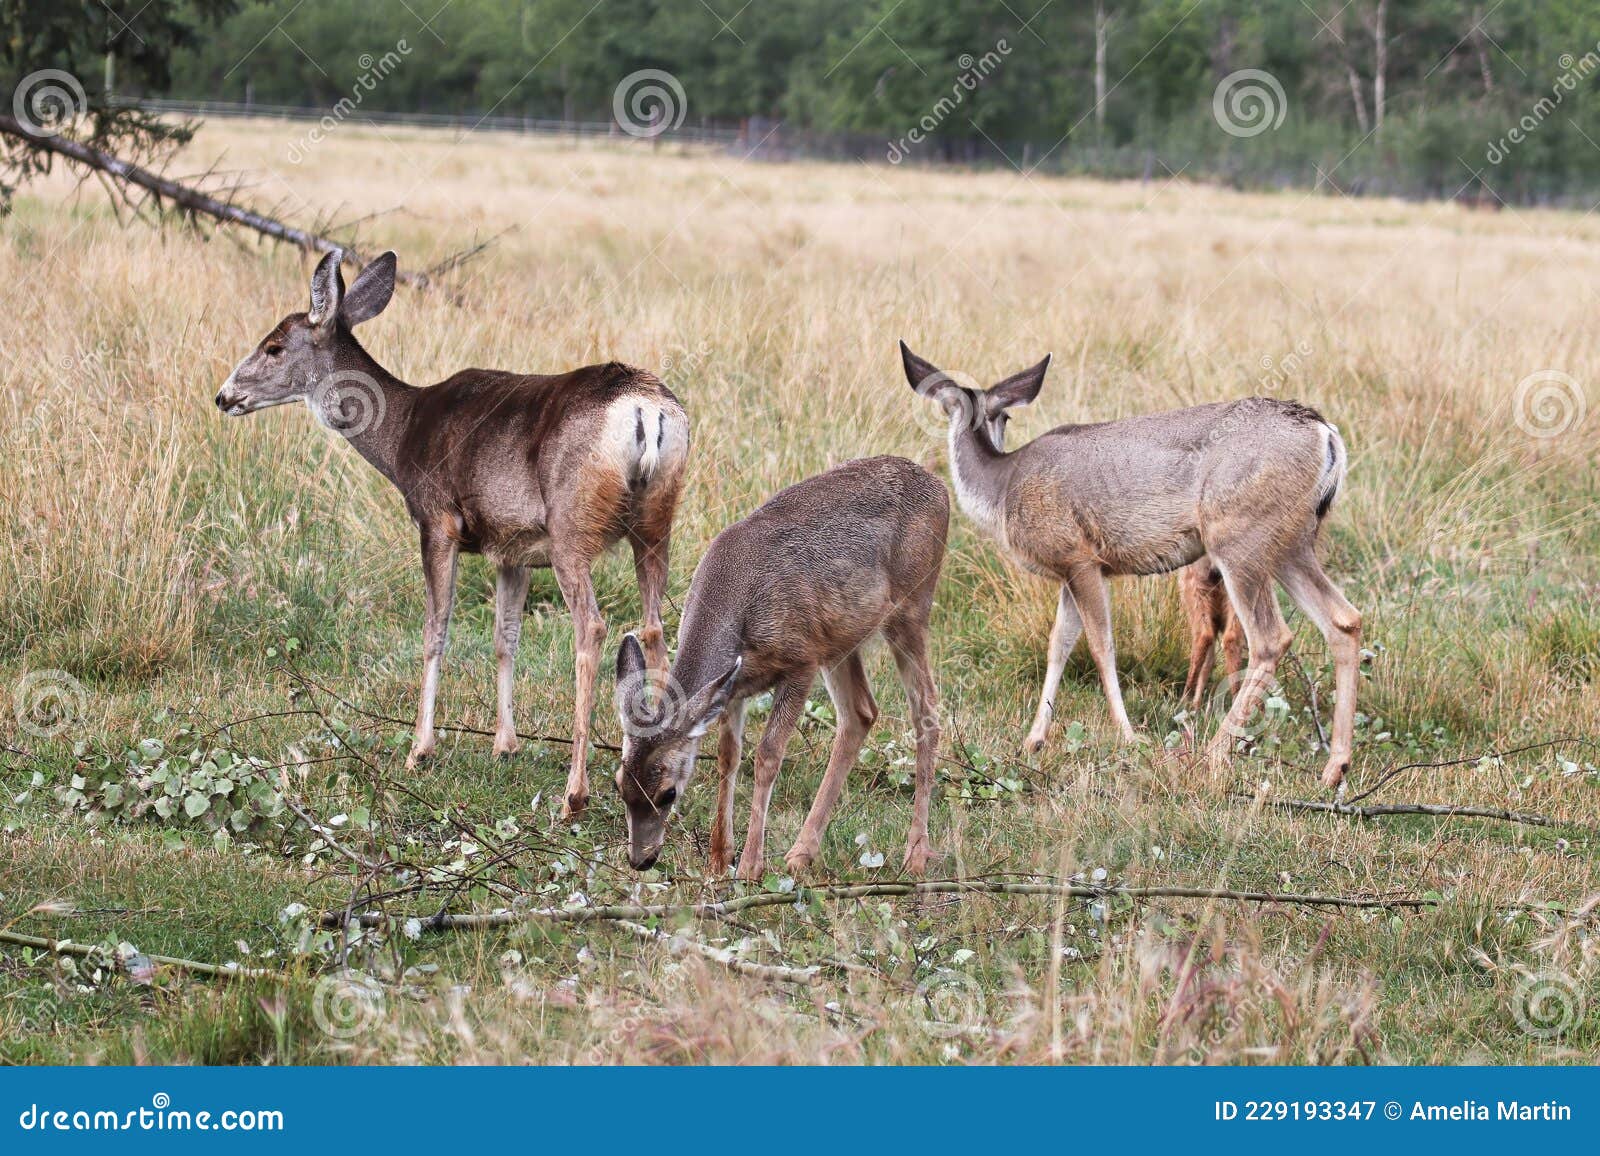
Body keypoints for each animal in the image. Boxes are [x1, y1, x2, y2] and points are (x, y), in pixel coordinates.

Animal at [216, 251, 689, 819]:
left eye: (274, 346)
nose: (223, 395)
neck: (400, 434)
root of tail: (647, 410)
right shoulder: (514, 547)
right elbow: (505, 638)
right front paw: (505, 744)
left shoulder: (437, 520)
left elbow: (434, 632)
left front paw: (420, 749)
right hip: (658, 520)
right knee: (655, 628)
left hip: (571, 527)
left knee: (593, 628)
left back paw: (573, 794)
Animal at [610, 456, 948, 879]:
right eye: (620, 784)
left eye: (667, 793)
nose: (640, 859)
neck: (736, 604)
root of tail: (938, 486)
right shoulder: (733, 685)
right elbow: (728, 755)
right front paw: (720, 857)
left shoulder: (800, 660)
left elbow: (768, 756)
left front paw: (749, 866)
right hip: (839, 640)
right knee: (860, 713)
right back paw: (802, 851)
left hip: (911, 607)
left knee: (928, 709)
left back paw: (915, 855)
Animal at [899, 341, 1362, 790]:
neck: (1002, 488)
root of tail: (1325, 433)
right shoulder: (1068, 571)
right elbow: (1058, 644)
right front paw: (1033, 739)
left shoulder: (1080, 557)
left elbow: (1101, 645)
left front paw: (1127, 735)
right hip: (1291, 543)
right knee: (1344, 618)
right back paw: (1334, 767)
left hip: (1238, 535)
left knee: (1270, 637)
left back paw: (1213, 756)